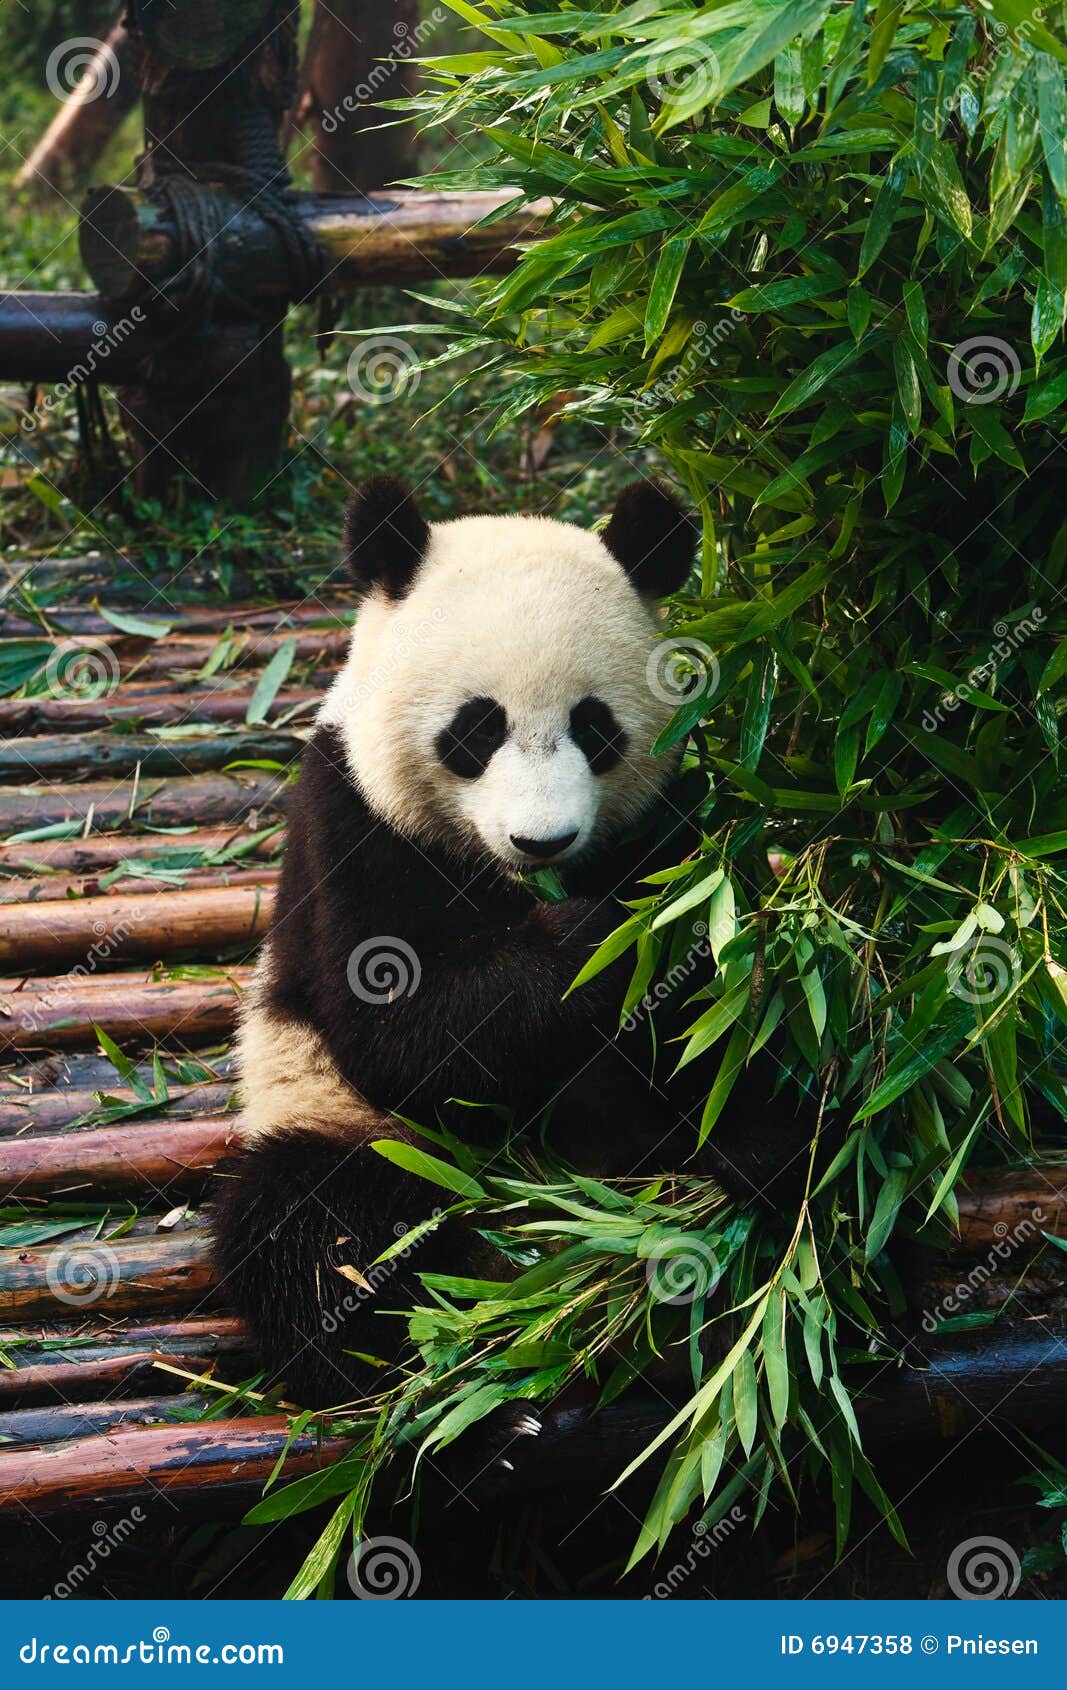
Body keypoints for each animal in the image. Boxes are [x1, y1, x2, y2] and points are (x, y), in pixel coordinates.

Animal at [214, 476, 813, 1410]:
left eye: (594, 728)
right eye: (476, 730)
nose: (543, 841)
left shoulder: (670, 826)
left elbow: (703, 1016)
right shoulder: (348, 820)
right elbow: (396, 1030)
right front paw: (594, 939)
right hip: (340, 1120)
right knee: (313, 1231)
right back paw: (421, 1370)